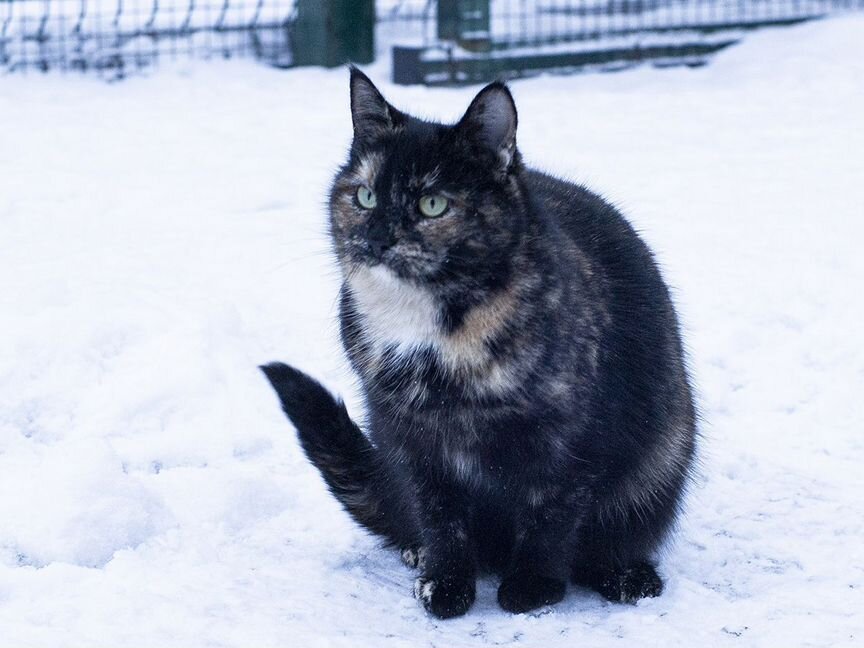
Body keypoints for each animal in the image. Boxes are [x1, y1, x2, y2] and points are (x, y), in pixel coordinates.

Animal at [260, 68, 700, 620]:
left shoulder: (572, 440)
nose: (377, 238)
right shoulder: (411, 441)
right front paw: (445, 584)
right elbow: (442, 519)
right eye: (365, 197)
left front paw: (532, 586)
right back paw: (418, 551)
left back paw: (625, 575)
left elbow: (550, 515)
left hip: (661, 460)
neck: (434, 339)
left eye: (432, 204)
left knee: (607, 540)